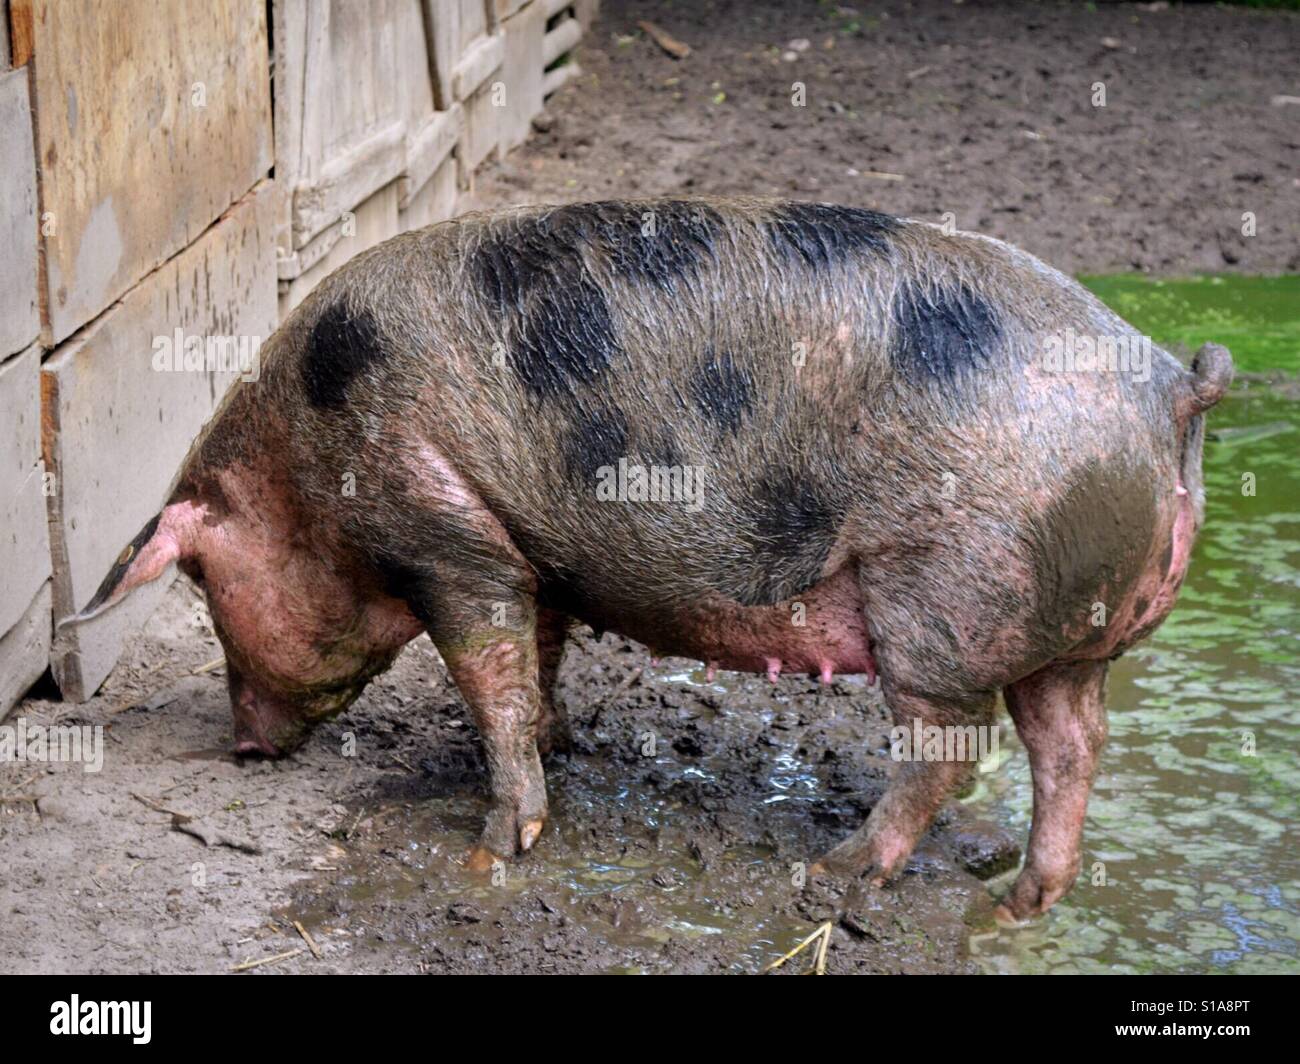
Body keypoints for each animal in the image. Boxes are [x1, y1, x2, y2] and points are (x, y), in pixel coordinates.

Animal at [81, 198, 1232, 921]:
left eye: (202, 581)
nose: (241, 747)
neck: (301, 454)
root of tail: (1169, 386)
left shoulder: (441, 524)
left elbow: (486, 661)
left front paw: (495, 845)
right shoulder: (529, 547)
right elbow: (536, 653)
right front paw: (552, 745)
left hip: (945, 593)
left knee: (951, 746)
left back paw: (832, 879)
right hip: (1073, 628)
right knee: (1072, 742)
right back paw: (1016, 901)